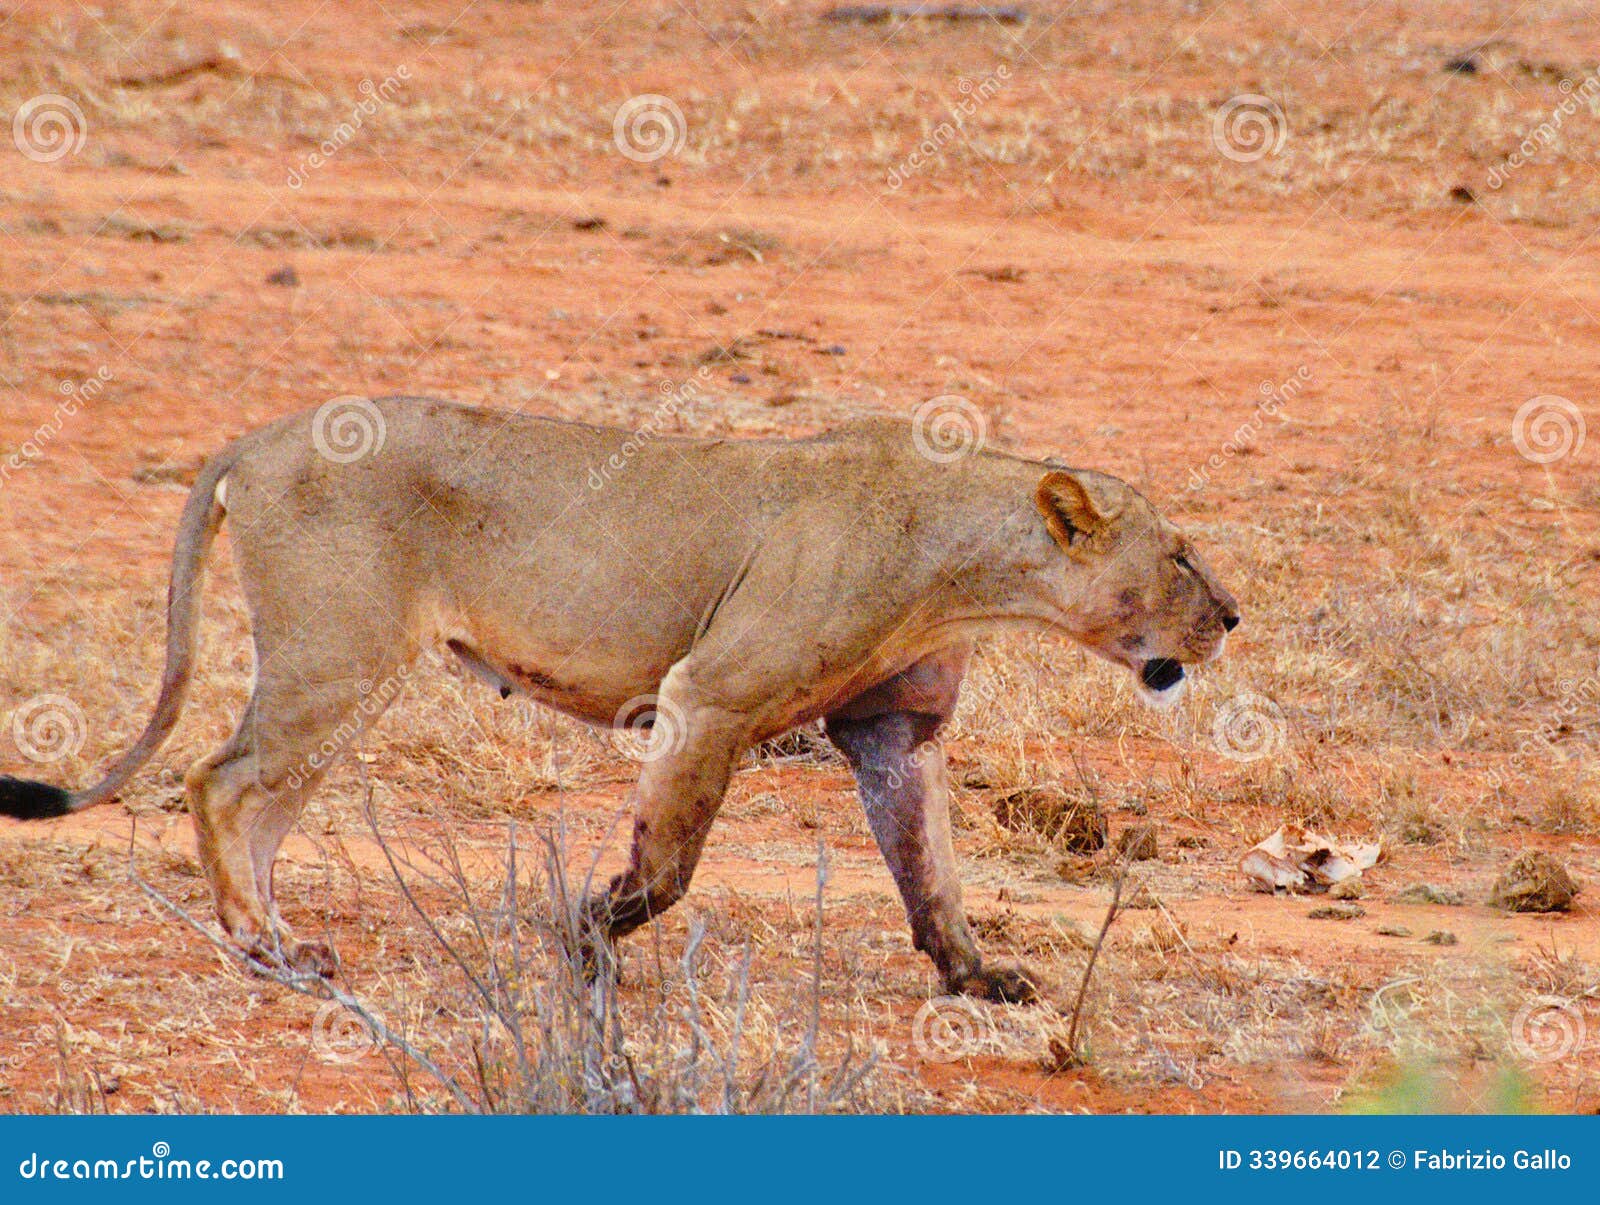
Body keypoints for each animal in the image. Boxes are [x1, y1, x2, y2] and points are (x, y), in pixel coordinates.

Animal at [0, 397, 1238, 1002]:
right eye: (1179, 555)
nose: (1231, 615)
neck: (969, 568)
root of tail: (253, 439)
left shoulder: (893, 729)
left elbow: (931, 869)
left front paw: (976, 978)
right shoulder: (712, 694)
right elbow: (669, 860)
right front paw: (584, 941)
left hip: (341, 670)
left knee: (258, 806)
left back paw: (282, 945)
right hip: (339, 653)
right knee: (220, 781)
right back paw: (263, 946)